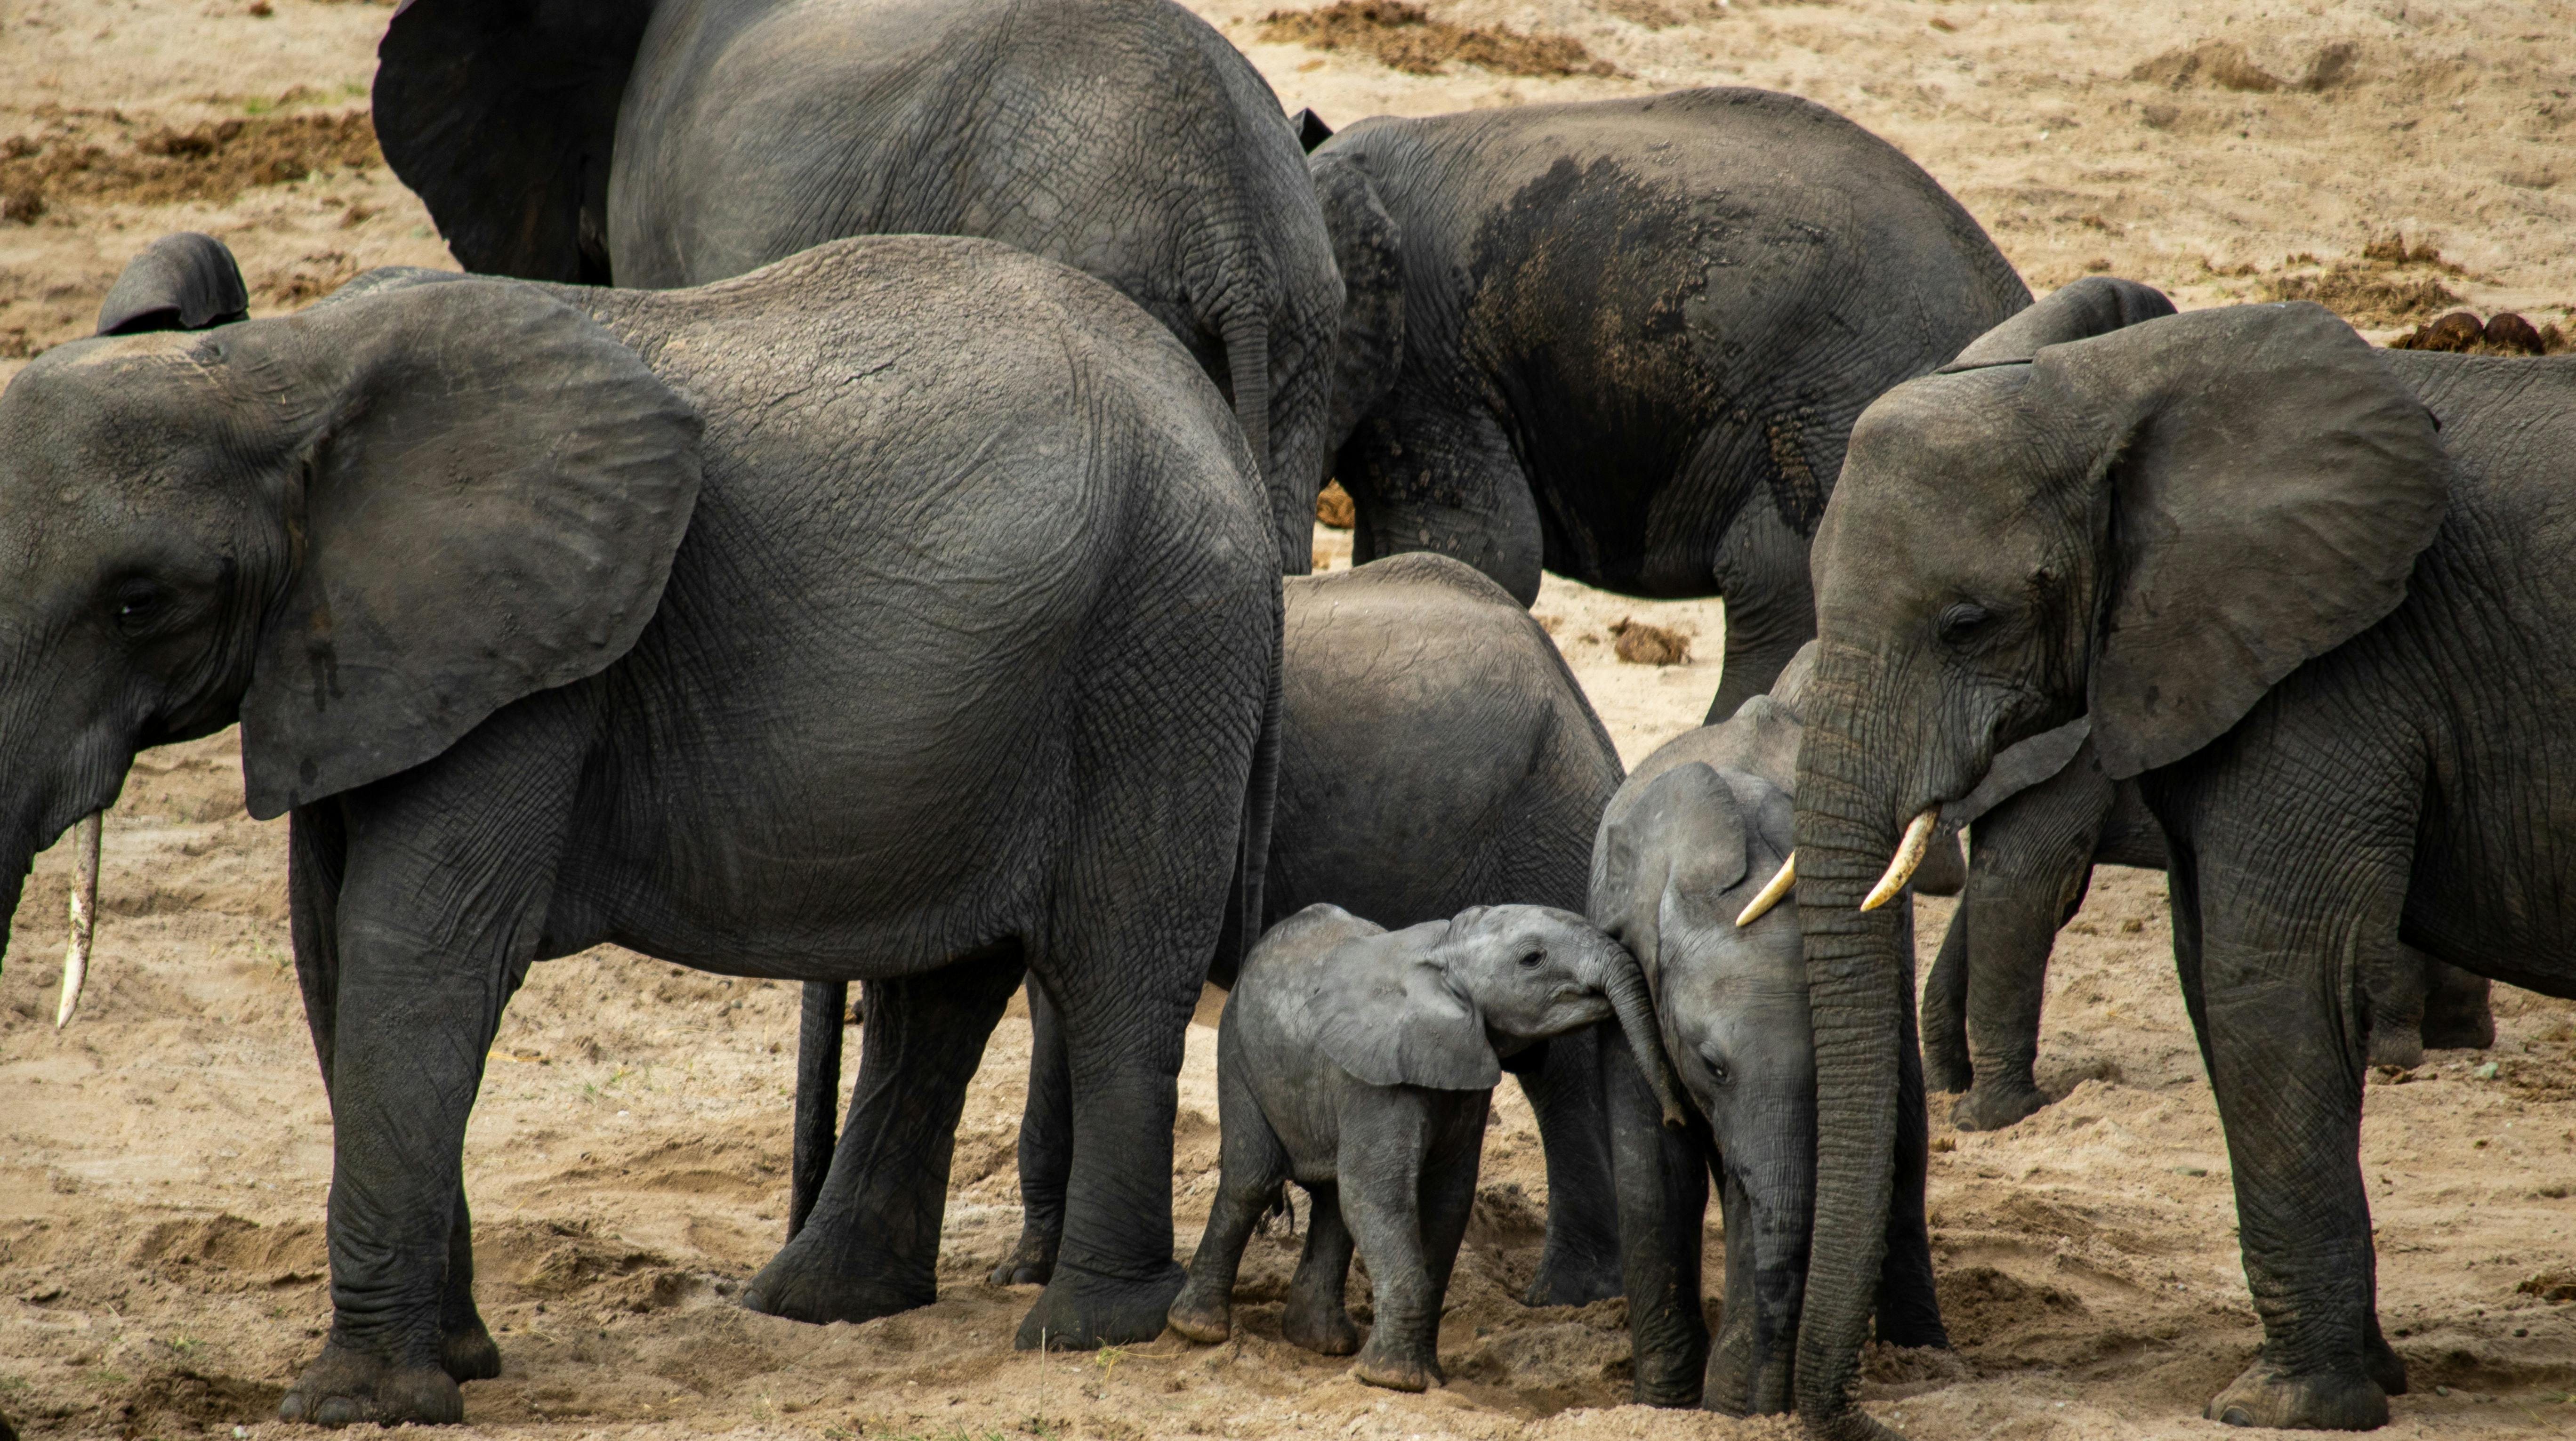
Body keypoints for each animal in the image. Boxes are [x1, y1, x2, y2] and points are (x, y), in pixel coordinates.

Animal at [9, 231, 1282, 1423]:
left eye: (138, 603)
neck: (273, 368)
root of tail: (1224, 431)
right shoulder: (366, 659)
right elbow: (332, 958)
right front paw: (458, 1365)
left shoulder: (529, 663)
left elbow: (417, 956)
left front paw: (362, 1407)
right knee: (940, 990)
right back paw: (817, 1304)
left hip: (1159, 644)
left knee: (1114, 969)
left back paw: (1085, 1332)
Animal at [1163, 902, 1687, 1393]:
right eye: (1532, 959)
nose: (1675, 1116)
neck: (1444, 951)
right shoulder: (1377, 1078)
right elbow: (1381, 1199)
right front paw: (1393, 1380)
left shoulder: (1464, 1076)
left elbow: (1446, 1202)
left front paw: (1424, 1376)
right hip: (1238, 1052)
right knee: (1253, 1181)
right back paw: (1198, 1330)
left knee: (1333, 1204)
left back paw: (1322, 1343)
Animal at [1588, 646, 1948, 1414]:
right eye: (1711, 1065)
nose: (1771, 1402)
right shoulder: (1624, 961)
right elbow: (1655, 1168)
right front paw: (1665, 1402)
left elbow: (1762, 1189)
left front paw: (1726, 1405)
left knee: (1904, 1128)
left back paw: (1931, 1359)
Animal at [1790, 273, 2576, 1434]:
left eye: (1967, 623)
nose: (1859, 1409)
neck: (2111, 391)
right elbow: (2209, 974)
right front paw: (2369, 1380)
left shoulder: (2337, 666)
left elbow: (2269, 980)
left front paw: (2283, 1407)